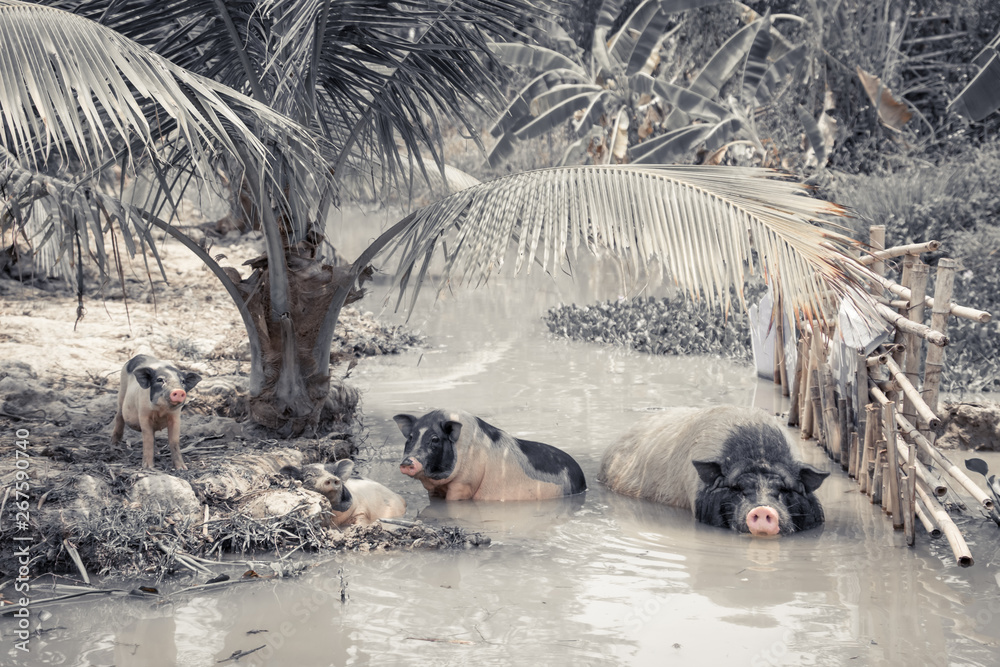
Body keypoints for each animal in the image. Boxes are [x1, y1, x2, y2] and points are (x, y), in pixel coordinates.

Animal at [393, 409, 587, 501]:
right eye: (411, 437)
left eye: (434, 439)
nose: (407, 461)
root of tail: (582, 479)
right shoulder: (433, 491)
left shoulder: (464, 485)